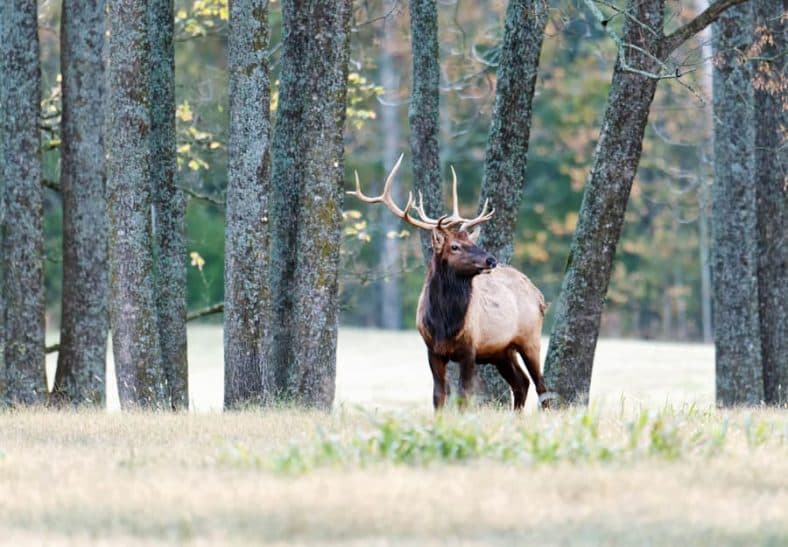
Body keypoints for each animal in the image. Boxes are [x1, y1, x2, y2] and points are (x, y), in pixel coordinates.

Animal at [348, 154, 550, 411]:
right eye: (454, 246)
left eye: (471, 241)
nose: (491, 259)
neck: (445, 324)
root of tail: (539, 296)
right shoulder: (432, 350)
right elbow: (438, 396)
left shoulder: (470, 350)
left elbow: (464, 395)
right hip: (502, 351)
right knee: (521, 383)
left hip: (530, 338)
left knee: (541, 385)